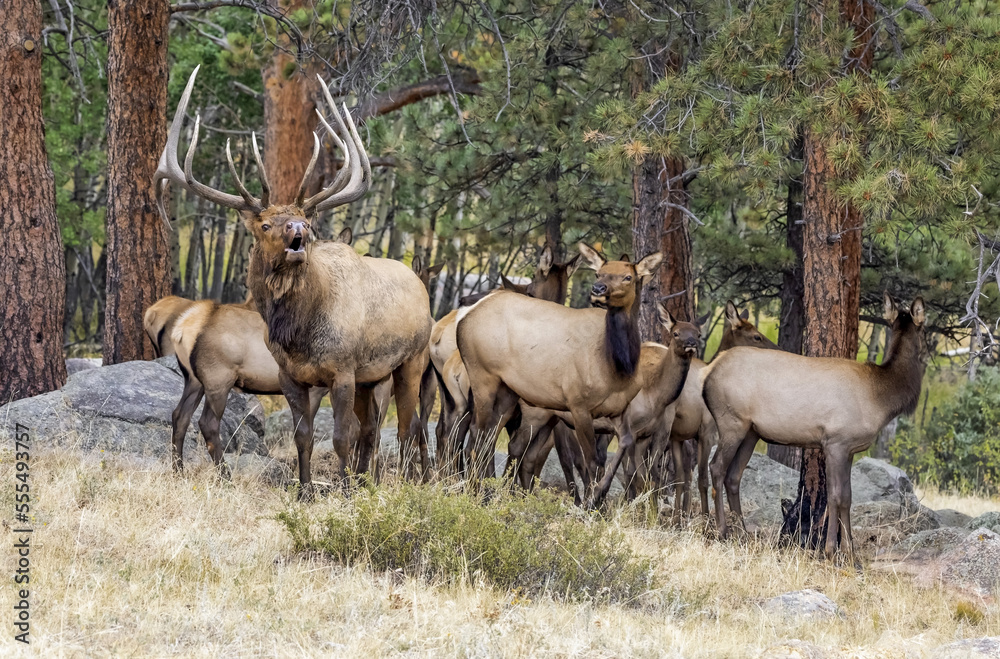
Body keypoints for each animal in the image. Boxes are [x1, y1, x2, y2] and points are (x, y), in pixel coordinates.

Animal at [154, 66, 432, 497]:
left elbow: (340, 436)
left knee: (405, 426)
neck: (297, 335)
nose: (299, 230)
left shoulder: (341, 370)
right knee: (374, 429)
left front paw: (343, 491)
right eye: (266, 224)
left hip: (410, 359)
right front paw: (304, 491)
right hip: (354, 377)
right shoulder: (291, 377)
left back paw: (400, 481)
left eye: (306, 219)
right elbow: (305, 435)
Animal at [456, 243, 662, 505]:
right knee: (477, 432)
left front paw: (599, 496)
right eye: (599, 273)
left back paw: (486, 491)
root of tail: (463, 317)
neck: (618, 366)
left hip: (508, 391)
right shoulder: (577, 405)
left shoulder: (619, 409)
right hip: (483, 376)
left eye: (628, 277)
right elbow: (589, 462)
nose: (598, 289)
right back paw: (475, 492)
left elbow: (621, 448)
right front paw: (589, 503)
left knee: (489, 436)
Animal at [702, 294, 927, 558]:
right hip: (731, 421)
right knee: (716, 467)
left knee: (734, 475)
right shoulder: (835, 442)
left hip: (750, 431)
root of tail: (708, 371)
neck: (881, 398)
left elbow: (848, 497)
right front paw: (830, 550)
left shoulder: (849, 448)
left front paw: (850, 551)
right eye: (923, 329)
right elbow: (836, 496)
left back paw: (743, 534)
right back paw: (723, 531)